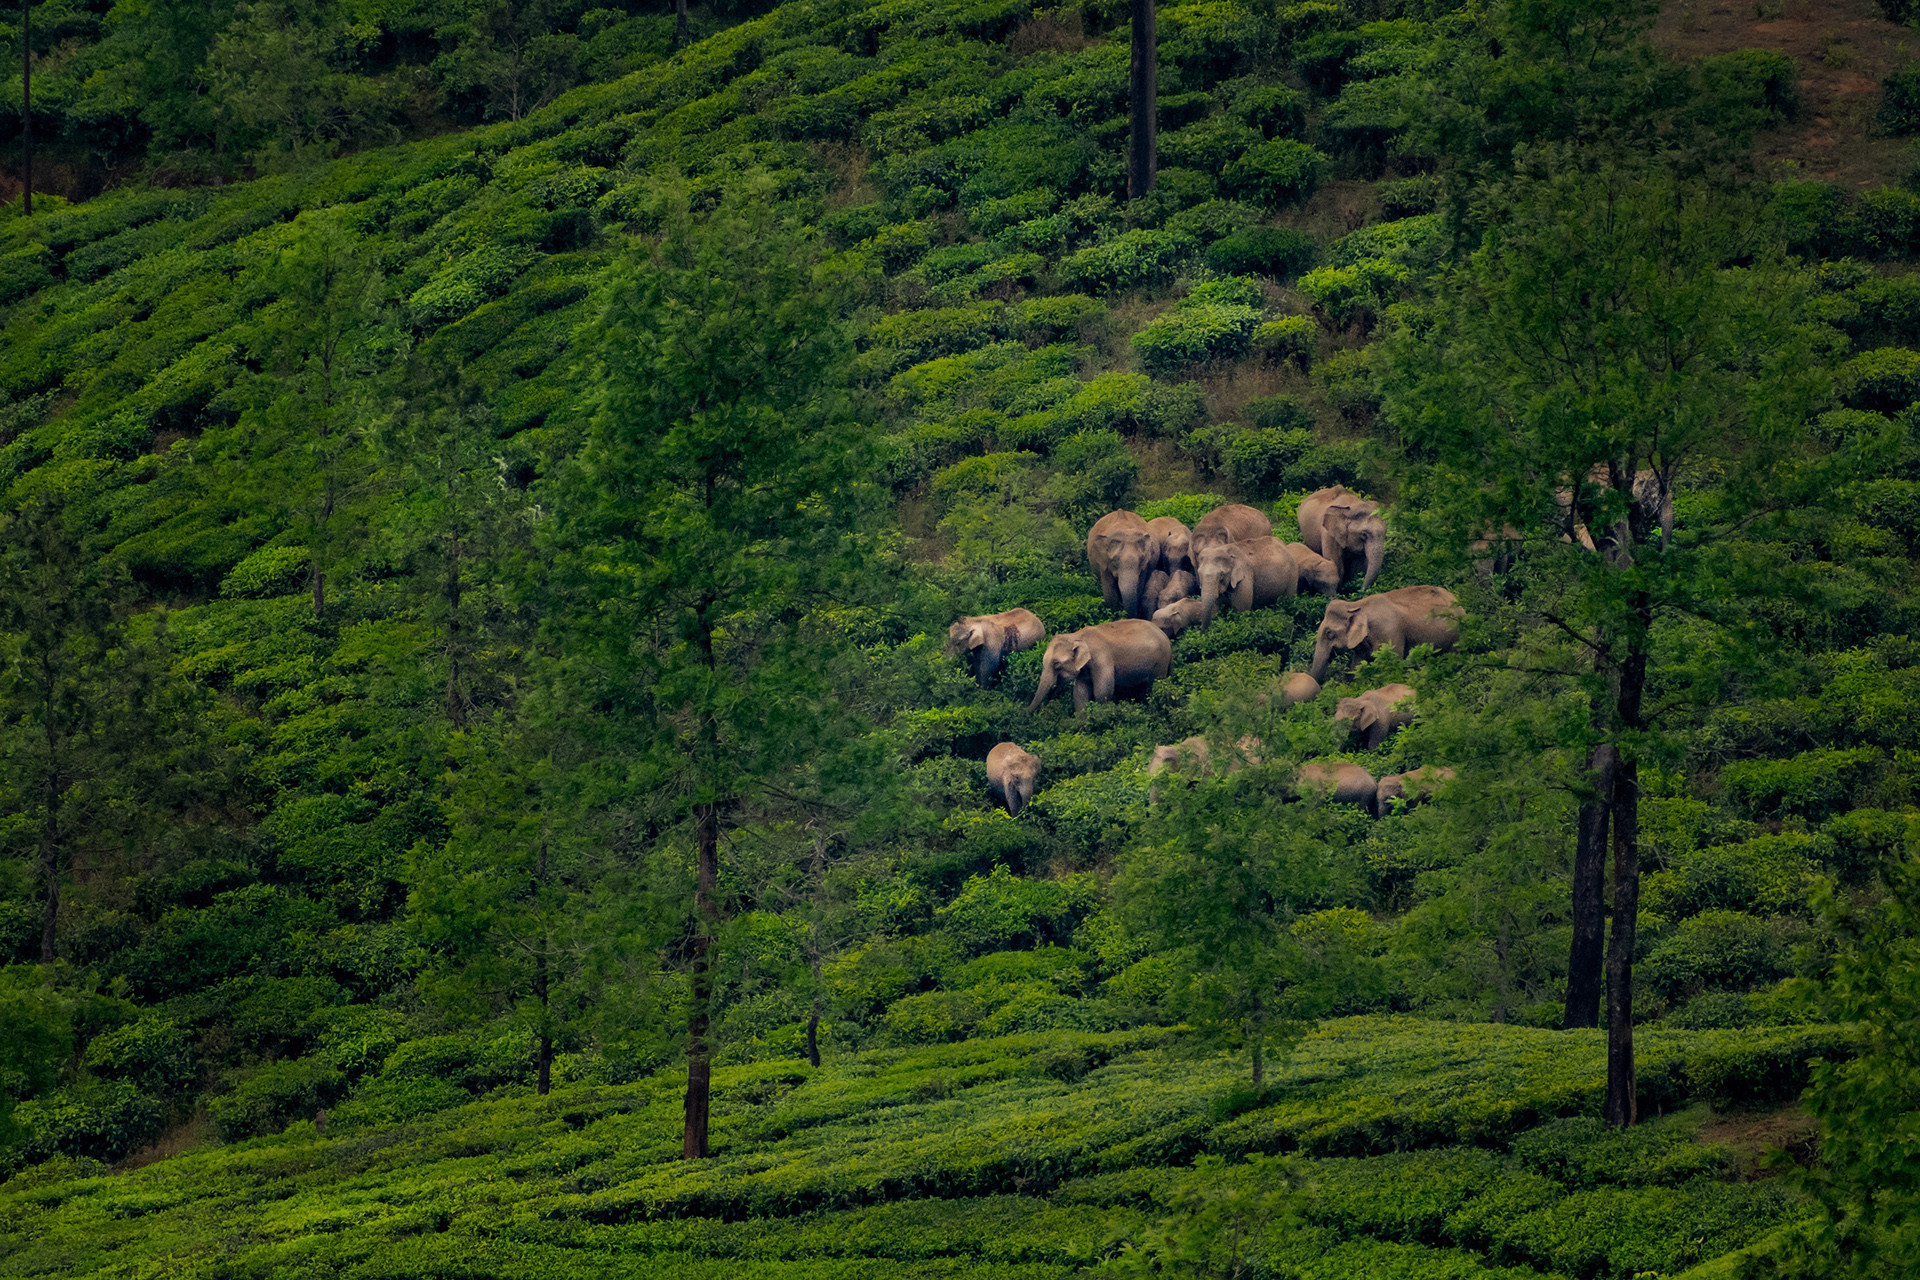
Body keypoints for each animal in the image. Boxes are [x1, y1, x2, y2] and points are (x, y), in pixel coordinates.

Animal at [1029, 619, 1173, 714]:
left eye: (1056, 663)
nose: (1028, 712)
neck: (1076, 636)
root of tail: (1166, 638)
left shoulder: (1101, 658)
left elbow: (1103, 691)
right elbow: (1080, 693)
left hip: (1160, 661)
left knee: (1154, 685)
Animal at [1308, 586, 1462, 683]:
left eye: (1330, 634)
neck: (1356, 604)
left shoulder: (1388, 632)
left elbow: (1392, 663)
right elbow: (1357, 666)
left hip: (1457, 636)